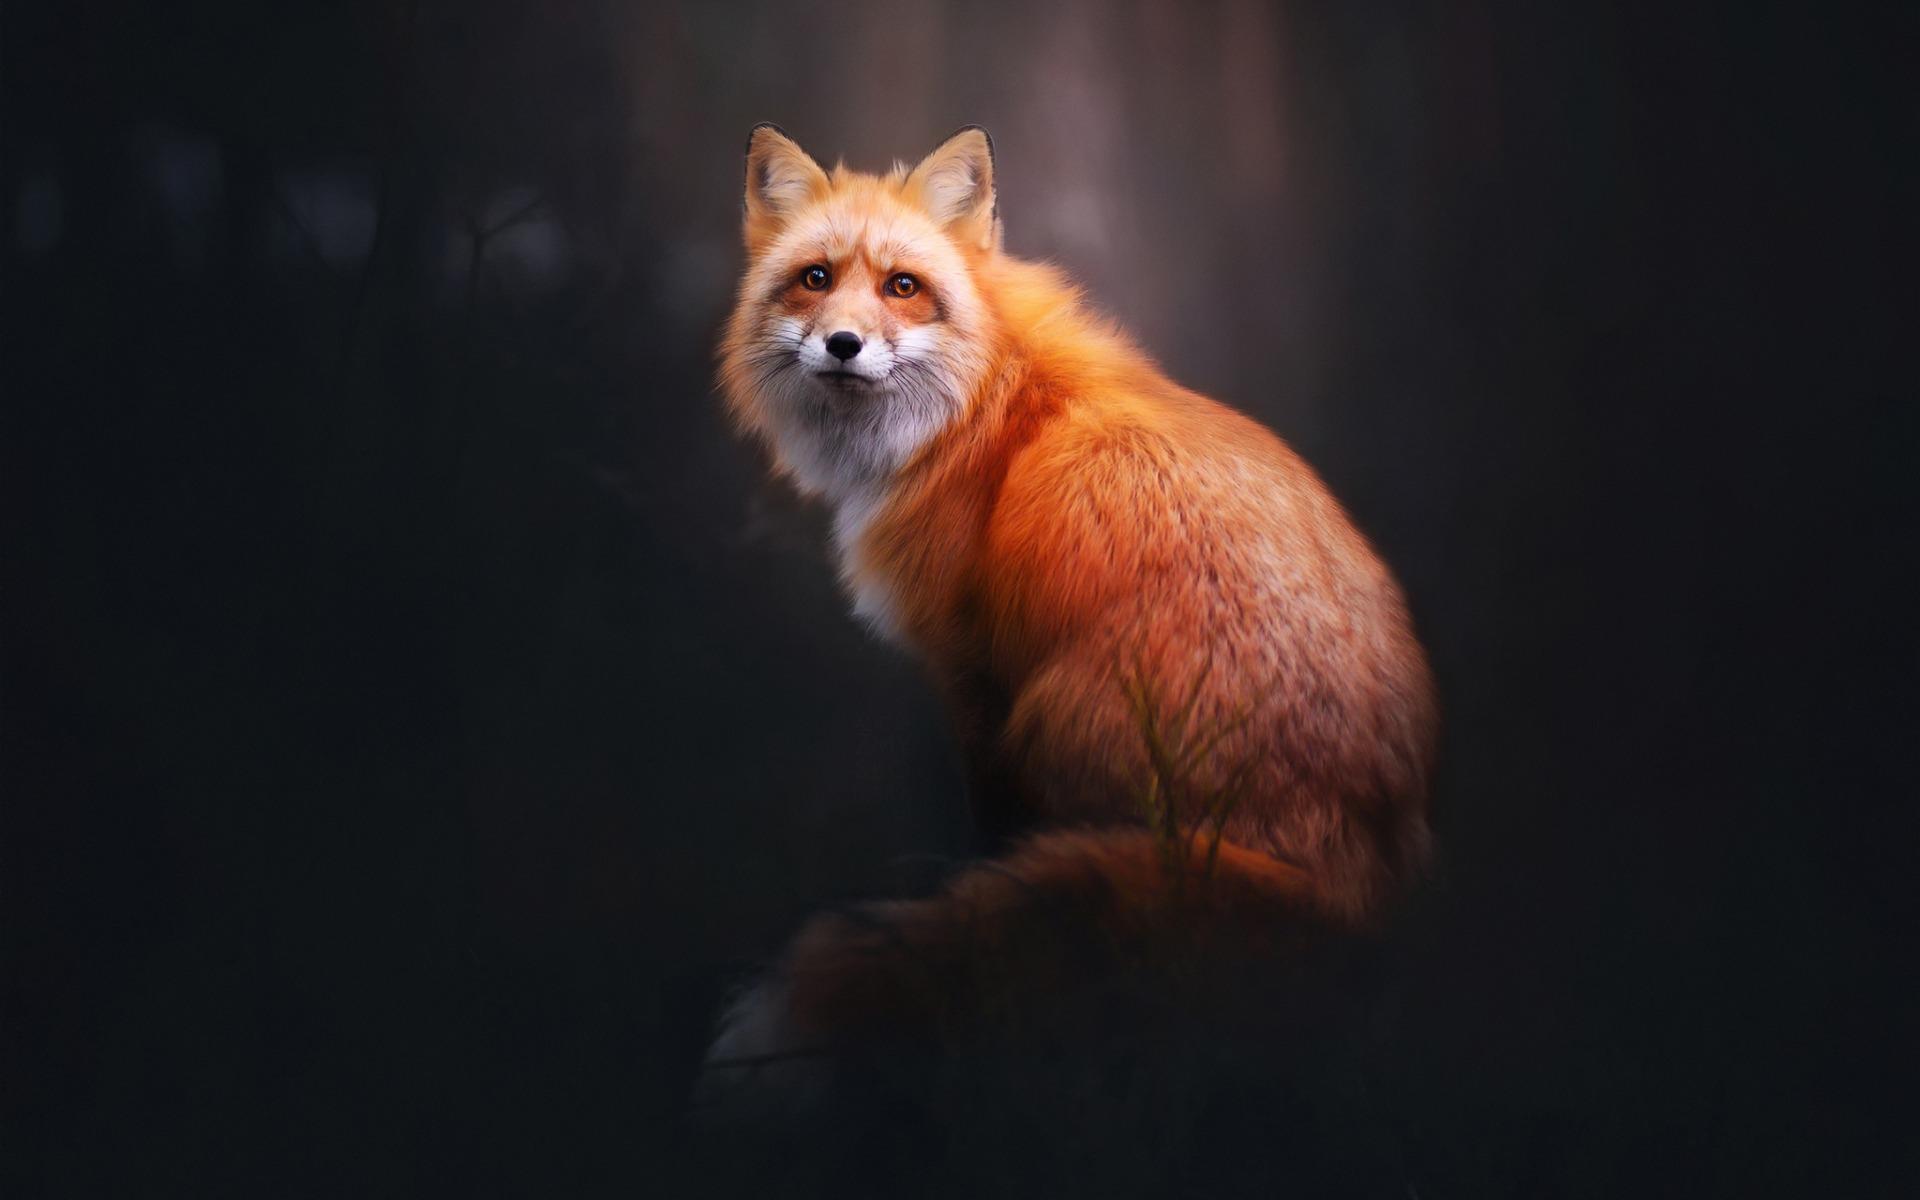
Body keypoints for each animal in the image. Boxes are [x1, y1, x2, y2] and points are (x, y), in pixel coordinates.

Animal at [703, 124, 1438, 1125]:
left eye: (903, 286)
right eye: (815, 279)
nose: (844, 345)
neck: (984, 405)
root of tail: (1355, 868)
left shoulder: (973, 671)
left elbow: (991, 833)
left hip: (1053, 719)